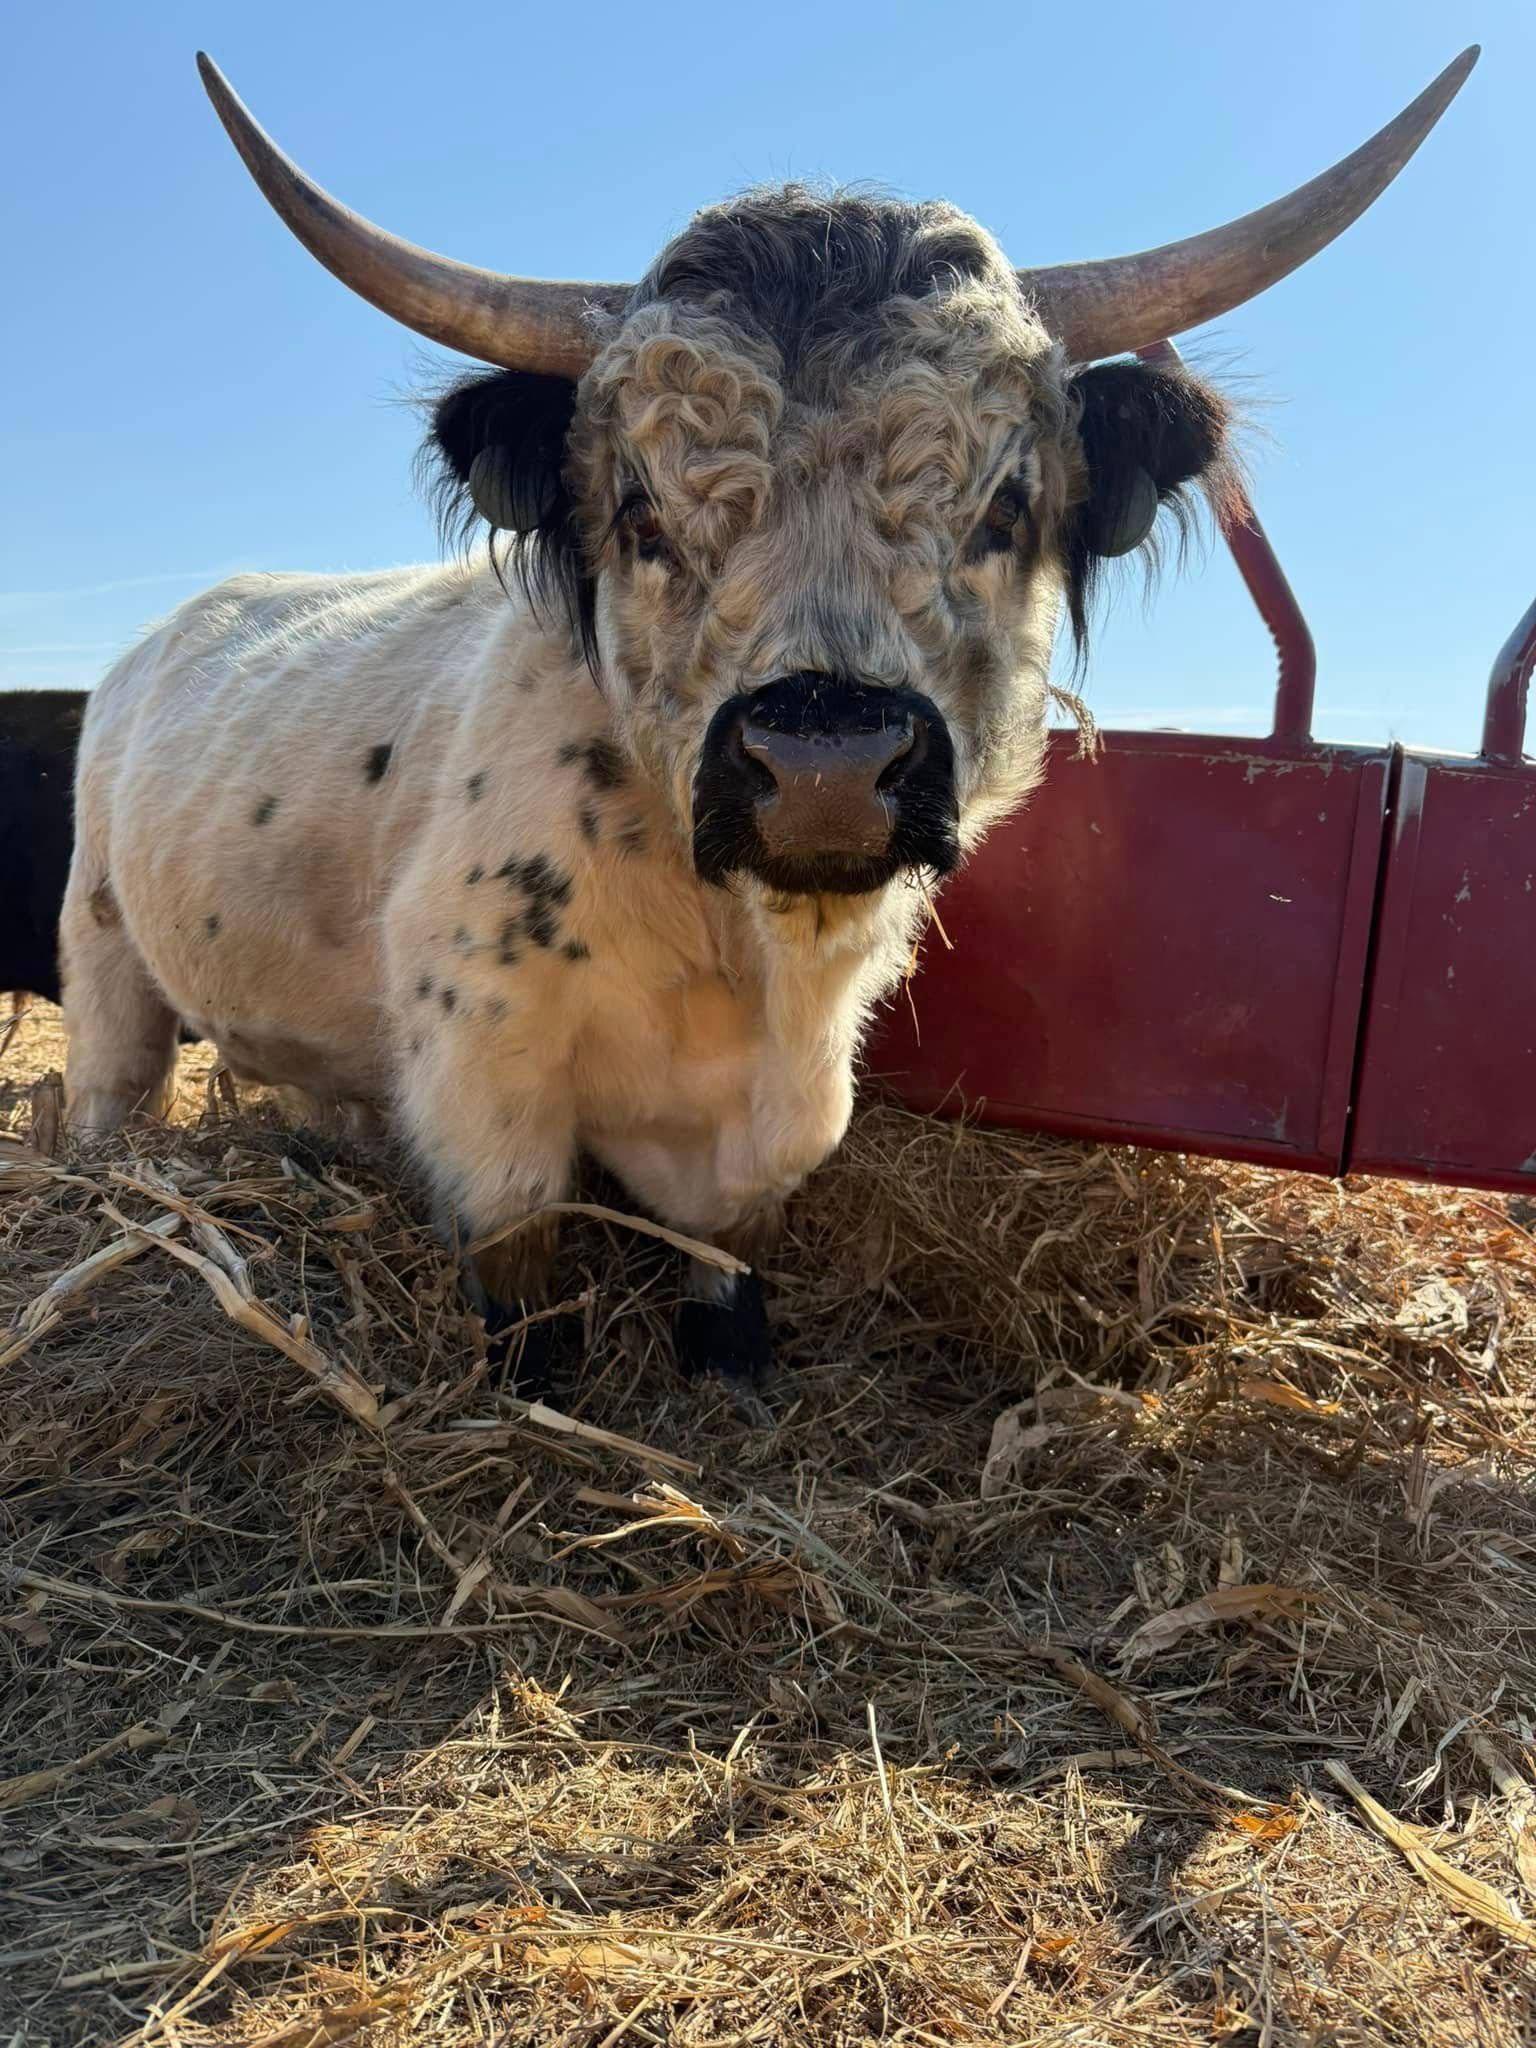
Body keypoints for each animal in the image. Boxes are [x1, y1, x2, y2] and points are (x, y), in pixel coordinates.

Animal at [60, 50, 1476, 1388]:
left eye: (1005, 505)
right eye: (639, 509)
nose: (825, 761)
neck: (753, 965)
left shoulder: (775, 1124)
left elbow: (732, 1256)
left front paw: (734, 1362)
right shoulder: (482, 1070)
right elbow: (524, 1269)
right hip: (103, 959)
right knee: (107, 1095)